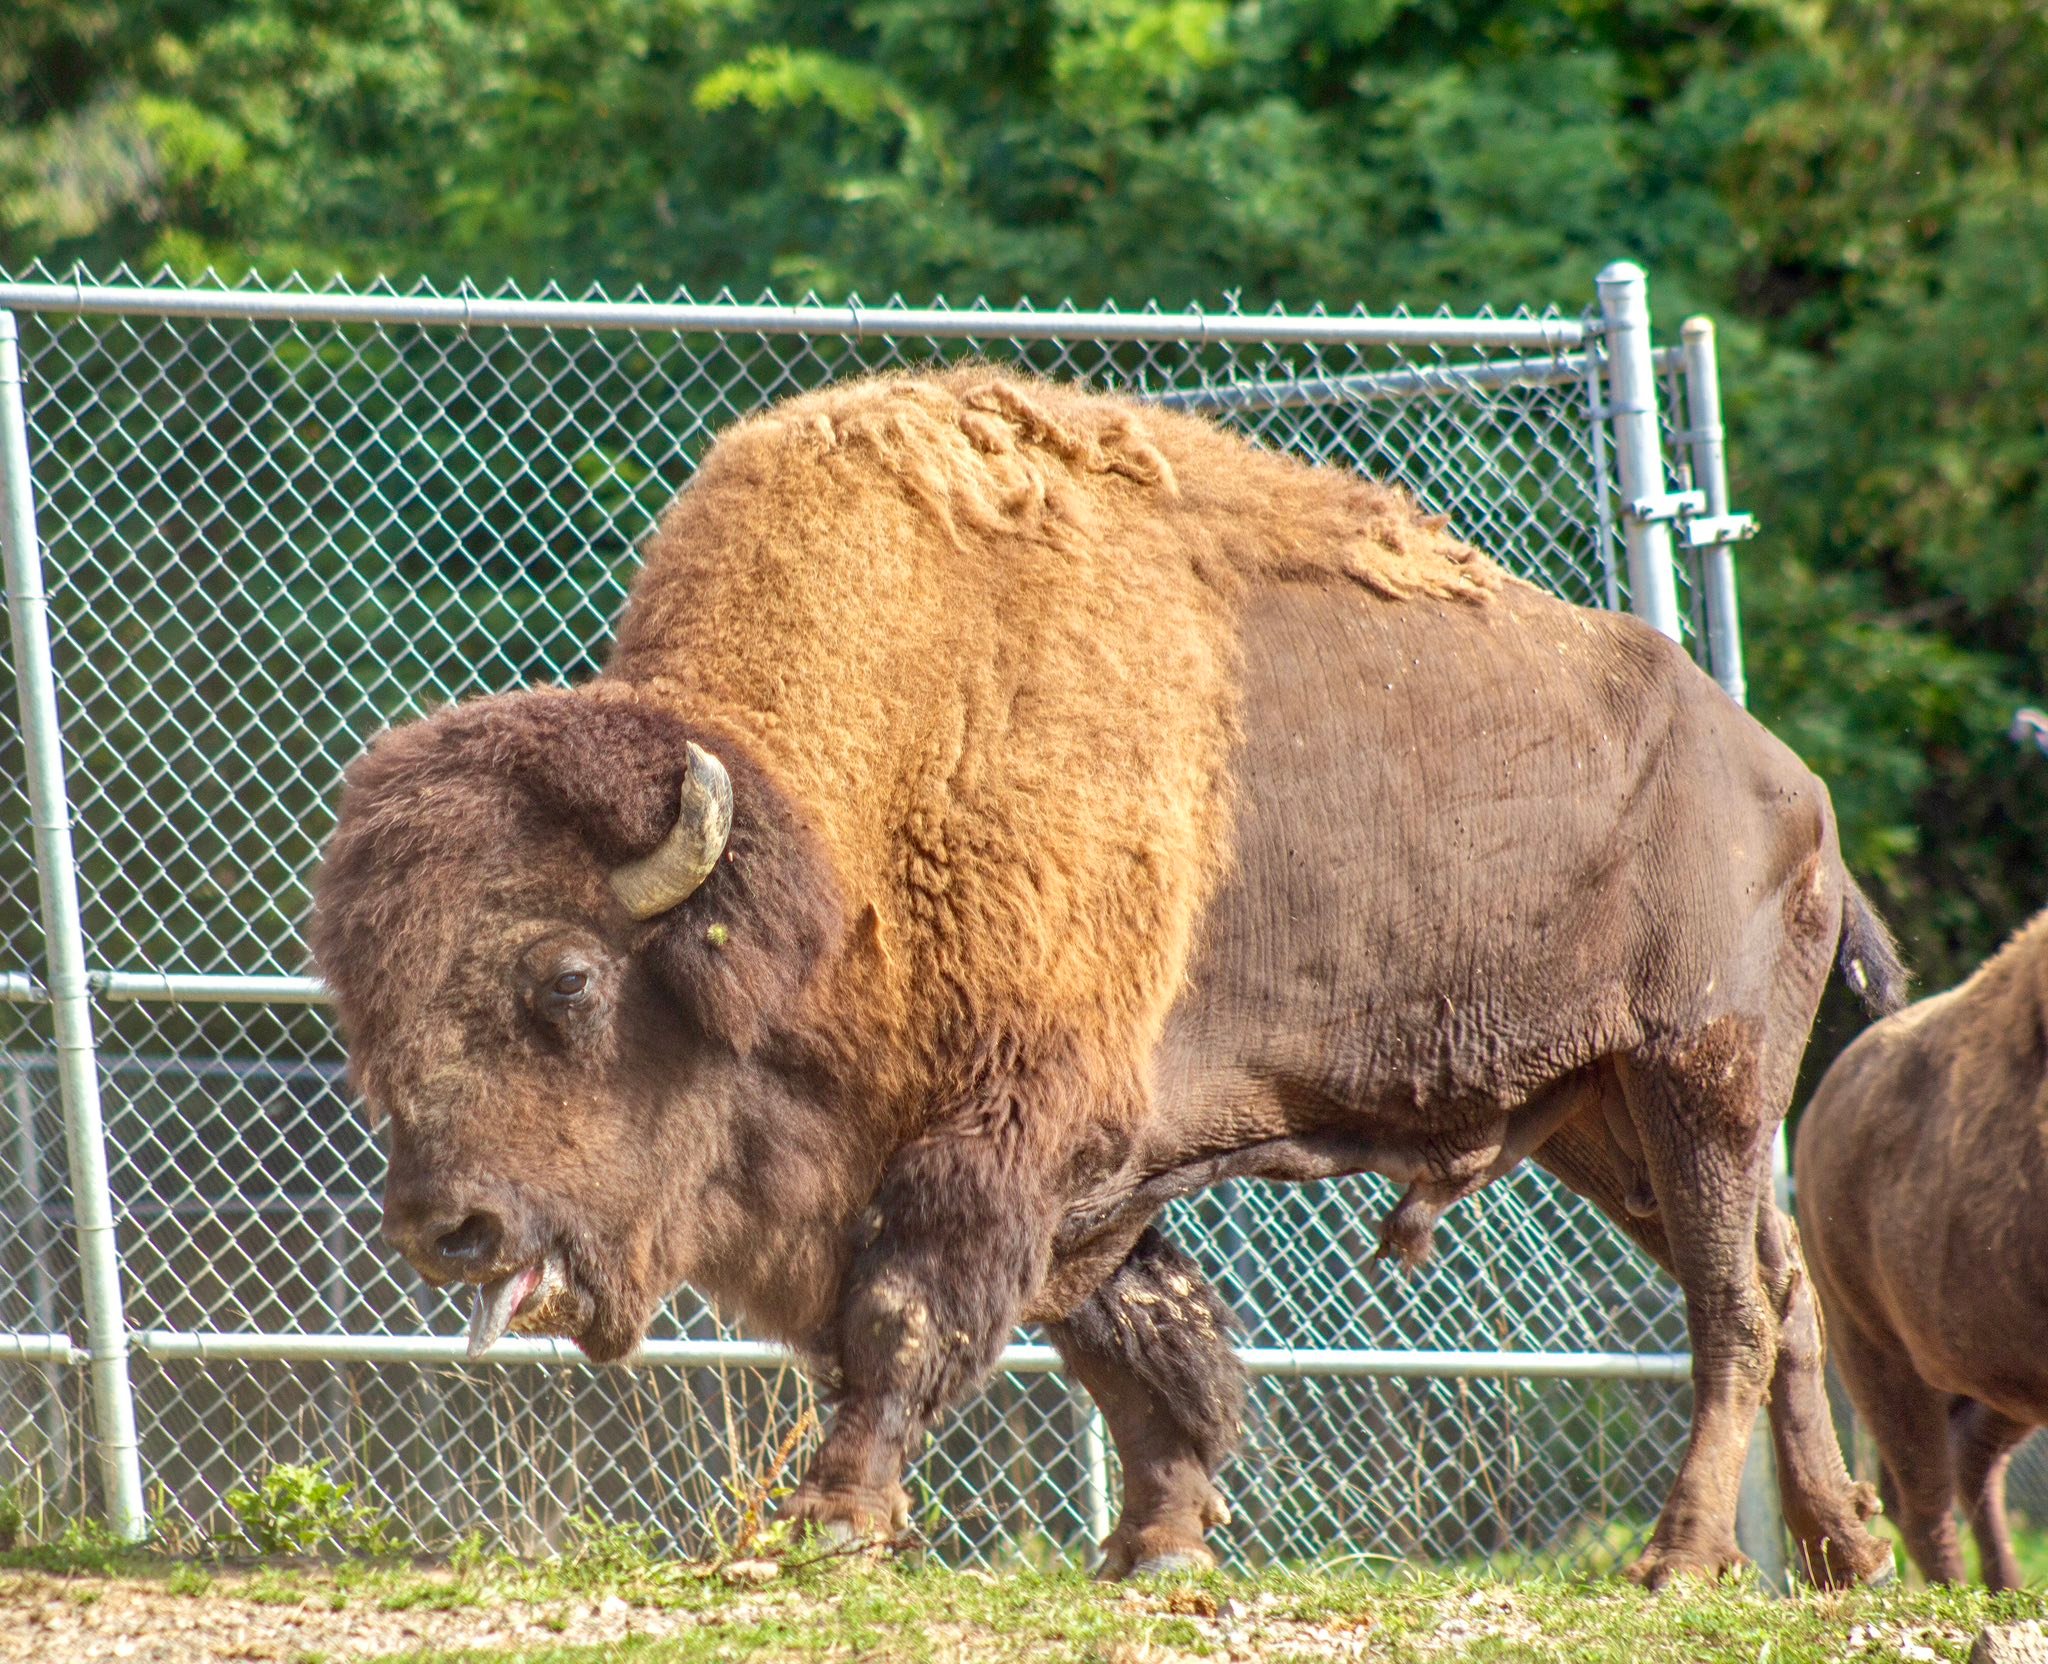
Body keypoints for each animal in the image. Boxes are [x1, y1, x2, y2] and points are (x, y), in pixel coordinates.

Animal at [312, 368, 1902, 1585]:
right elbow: (1143, 1344)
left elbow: (910, 1313)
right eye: (367, 1005)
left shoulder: (1014, 1124)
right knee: (1779, 1287)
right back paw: (1844, 1554)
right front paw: (1154, 1545)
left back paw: (1683, 1560)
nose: (445, 1225)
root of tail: (1792, 785)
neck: (847, 814)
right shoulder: (1093, 1163)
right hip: (1599, 1114)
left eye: (568, 978)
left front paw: (832, 1521)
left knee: (1731, 1307)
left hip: (1696, 1077)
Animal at [1797, 907, 2048, 1588]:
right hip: (1877, 1351)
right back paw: (1957, 1594)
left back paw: (2004, 1589)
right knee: (1922, 1494)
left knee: (1969, 1458)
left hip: (1989, 1365)